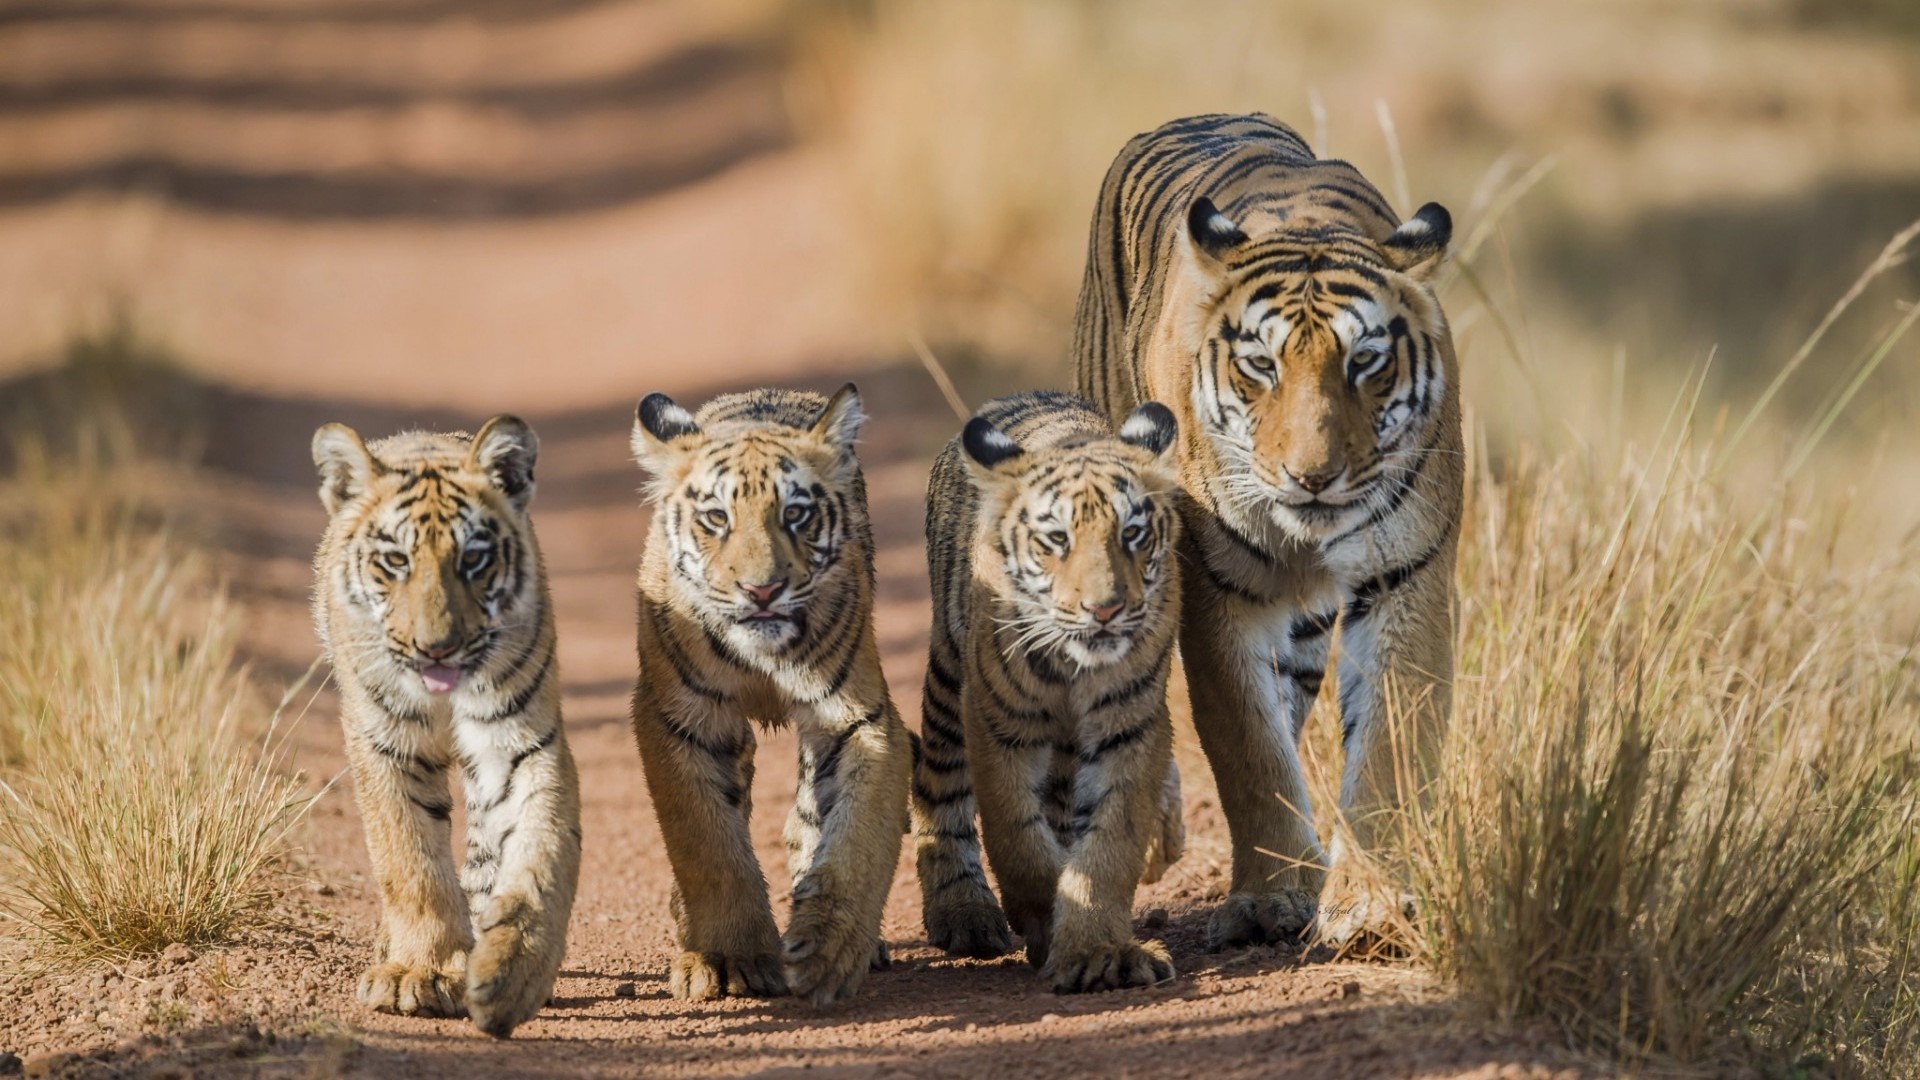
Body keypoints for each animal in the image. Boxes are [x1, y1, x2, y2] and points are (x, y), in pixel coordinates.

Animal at [310, 416, 581, 1038]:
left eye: (474, 560)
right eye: (395, 561)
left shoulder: (519, 741)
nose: (437, 647)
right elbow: (409, 859)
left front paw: (515, 973)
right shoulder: (386, 744)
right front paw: (422, 972)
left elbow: (542, 849)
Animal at [628, 384, 912, 1007]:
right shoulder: (680, 721)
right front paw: (730, 957)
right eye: (716, 518)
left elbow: (856, 834)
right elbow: (707, 844)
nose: (762, 590)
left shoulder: (857, 720)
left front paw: (830, 951)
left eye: (795, 514)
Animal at [909, 390, 1185, 992]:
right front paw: (1040, 922)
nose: (1105, 610)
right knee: (937, 786)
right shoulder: (997, 723)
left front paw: (1097, 950)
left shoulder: (1130, 726)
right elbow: (1017, 839)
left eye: (1132, 533)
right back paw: (963, 915)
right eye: (1057, 539)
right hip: (947, 677)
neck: (1072, 668)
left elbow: (1108, 843)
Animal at [1073, 113, 1463, 948]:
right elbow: (1246, 746)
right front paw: (1273, 895)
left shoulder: (1406, 576)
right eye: (1261, 365)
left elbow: (1389, 740)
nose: (1311, 477)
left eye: (1366, 362)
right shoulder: (1220, 590)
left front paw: (1369, 899)